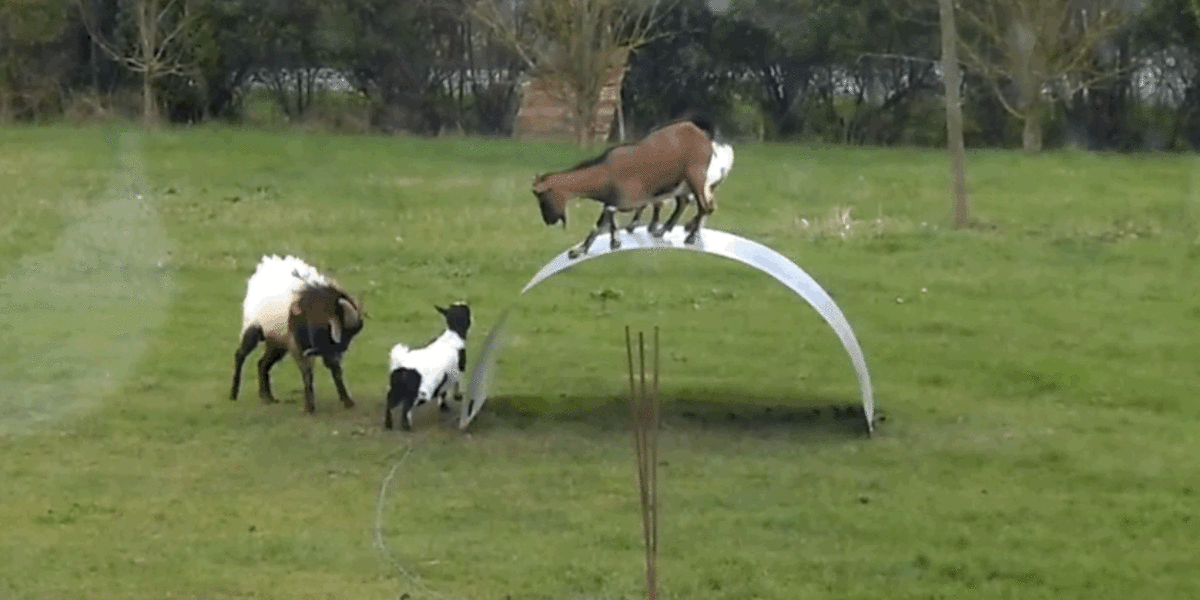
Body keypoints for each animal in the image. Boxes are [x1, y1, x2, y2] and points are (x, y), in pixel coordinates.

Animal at [229, 254, 365, 414]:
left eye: (347, 337)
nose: (324, 355)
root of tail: (266, 264)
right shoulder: (297, 344)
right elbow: (307, 371)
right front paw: (309, 407)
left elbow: (335, 370)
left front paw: (347, 400)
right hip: (253, 328)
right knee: (240, 355)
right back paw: (233, 394)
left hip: (276, 342)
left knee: (262, 363)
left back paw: (267, 397)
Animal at [385, 303, 472, 431]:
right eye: (466, 311)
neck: (452, 335)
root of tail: (401, 365)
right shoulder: (456, 372)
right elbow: (453, 386)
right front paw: (455, 398)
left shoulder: (445, 376)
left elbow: (443, 391)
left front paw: (444, 406)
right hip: (420, 391)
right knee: (406, 406)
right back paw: (406, 426)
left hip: (397, 387)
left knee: (390, 401)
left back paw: (388, 424)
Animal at [532, 115, 735, 258]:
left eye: (543, 196)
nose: (548, 220)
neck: (605, 173)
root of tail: (702, 135)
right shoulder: (614, 200)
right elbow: (607, 220)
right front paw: (608, 243)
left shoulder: (628, 199)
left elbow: (604, 220)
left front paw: (584, 249)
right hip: (681, 182)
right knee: (685, 203)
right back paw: (663, 230)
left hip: (695, 176)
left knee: (704, 206)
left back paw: (690, 236)